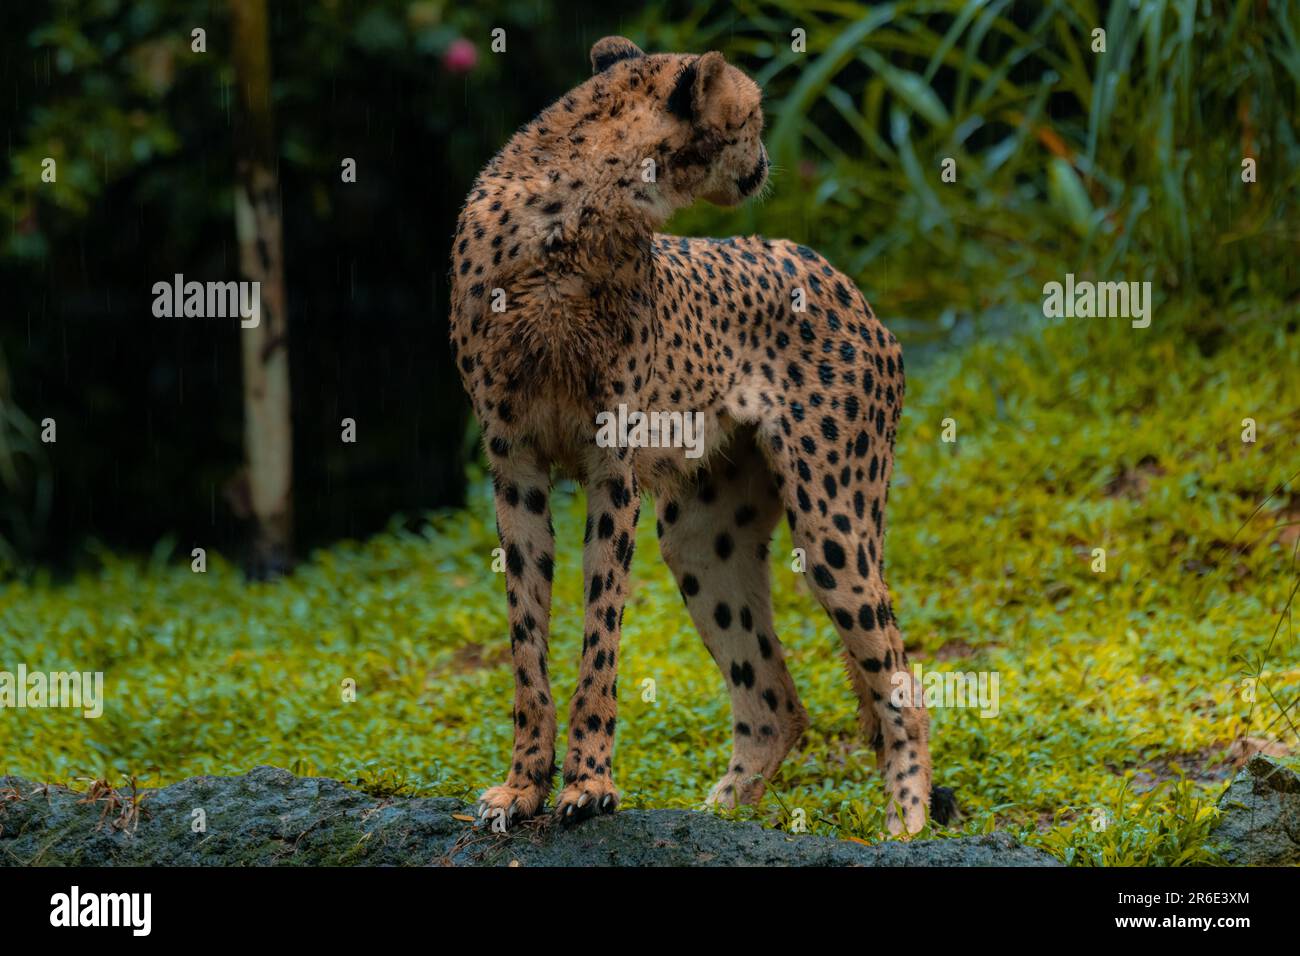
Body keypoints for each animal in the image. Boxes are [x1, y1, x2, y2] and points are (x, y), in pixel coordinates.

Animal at [448, 35, 954, 836]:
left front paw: (588, 785)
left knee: (901, 682)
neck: (571, 220)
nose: (766, 161)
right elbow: (528, 646)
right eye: (750, 117)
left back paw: (904, 824)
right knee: (775, 700)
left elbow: (599, 641)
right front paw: (522, 785)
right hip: (700, 537)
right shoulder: (513, 463)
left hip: (833, 521)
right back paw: (716, 815)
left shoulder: (612, 465)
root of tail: (836, 272)